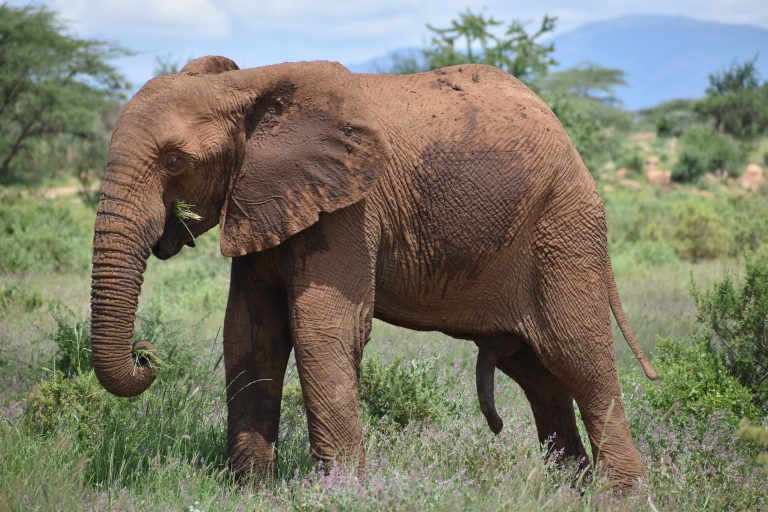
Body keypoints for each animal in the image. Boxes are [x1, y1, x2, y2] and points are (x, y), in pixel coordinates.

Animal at [90, 55, 658, 486]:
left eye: (174, 162)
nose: (146, 353)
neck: (247, 86)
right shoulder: (261, 199)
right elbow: (249, 332)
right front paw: (250, 491)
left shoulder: (350, 208)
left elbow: (322, 328)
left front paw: (339, 494)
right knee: (541, 377)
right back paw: (571, 492)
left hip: (564, 229)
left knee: (581, 362)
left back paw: (622, 497)